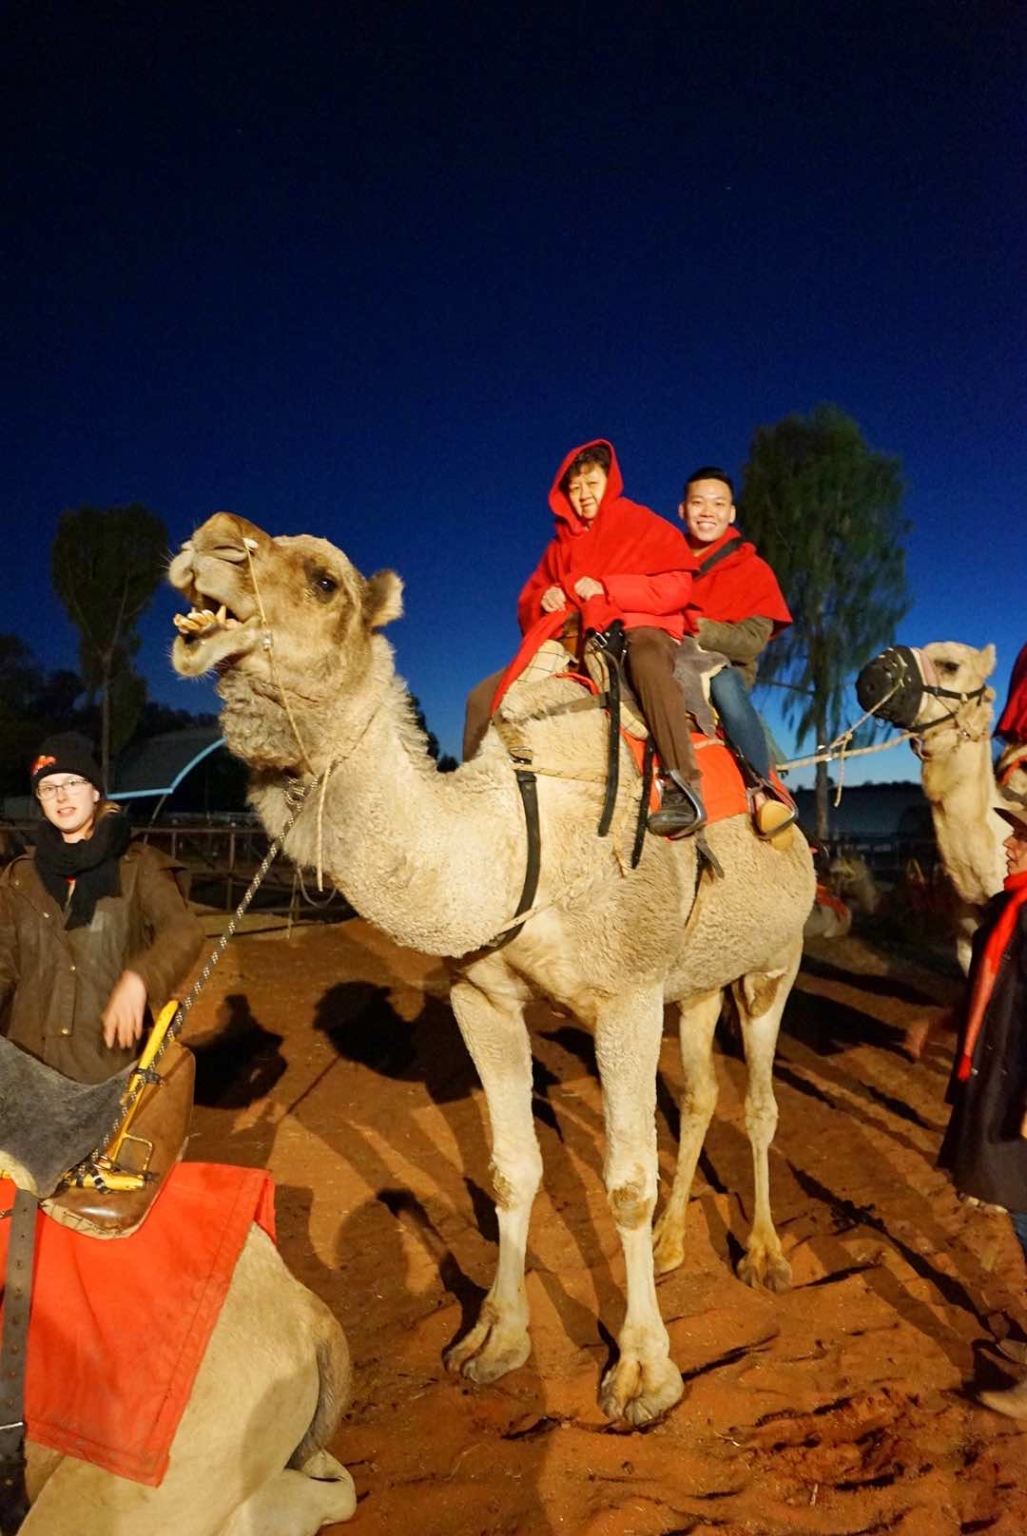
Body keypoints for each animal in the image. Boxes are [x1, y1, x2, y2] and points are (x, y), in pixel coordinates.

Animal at [169, 513, 815, 1427]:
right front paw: (495, 1339)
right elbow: (512, 1169)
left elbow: (624, 1181)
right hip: (694, 981)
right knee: (698, 1095)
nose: (213, 542)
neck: (517, 842)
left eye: (325, 580)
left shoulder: (624, 997)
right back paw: (673, 1243)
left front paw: (642, 1374)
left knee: (757, 1103)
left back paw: (760, 1255)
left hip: (773, 962)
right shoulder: (484, 997)